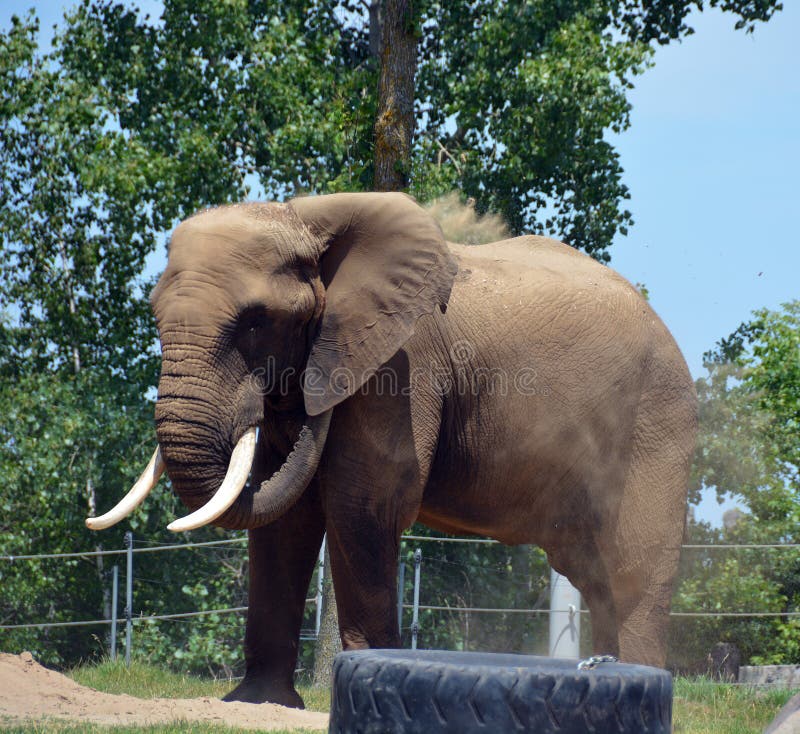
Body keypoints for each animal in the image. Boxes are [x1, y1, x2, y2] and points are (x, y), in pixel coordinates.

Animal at [87, 192, 697, 708]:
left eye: (257, 321)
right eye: (154, 314)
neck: (304, 220)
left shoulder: (400, 367)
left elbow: (365, 504)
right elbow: (285, 519)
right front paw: (258, 703)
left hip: (657, 421)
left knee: (633, 567)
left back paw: (640, 675)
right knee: (593, 572)